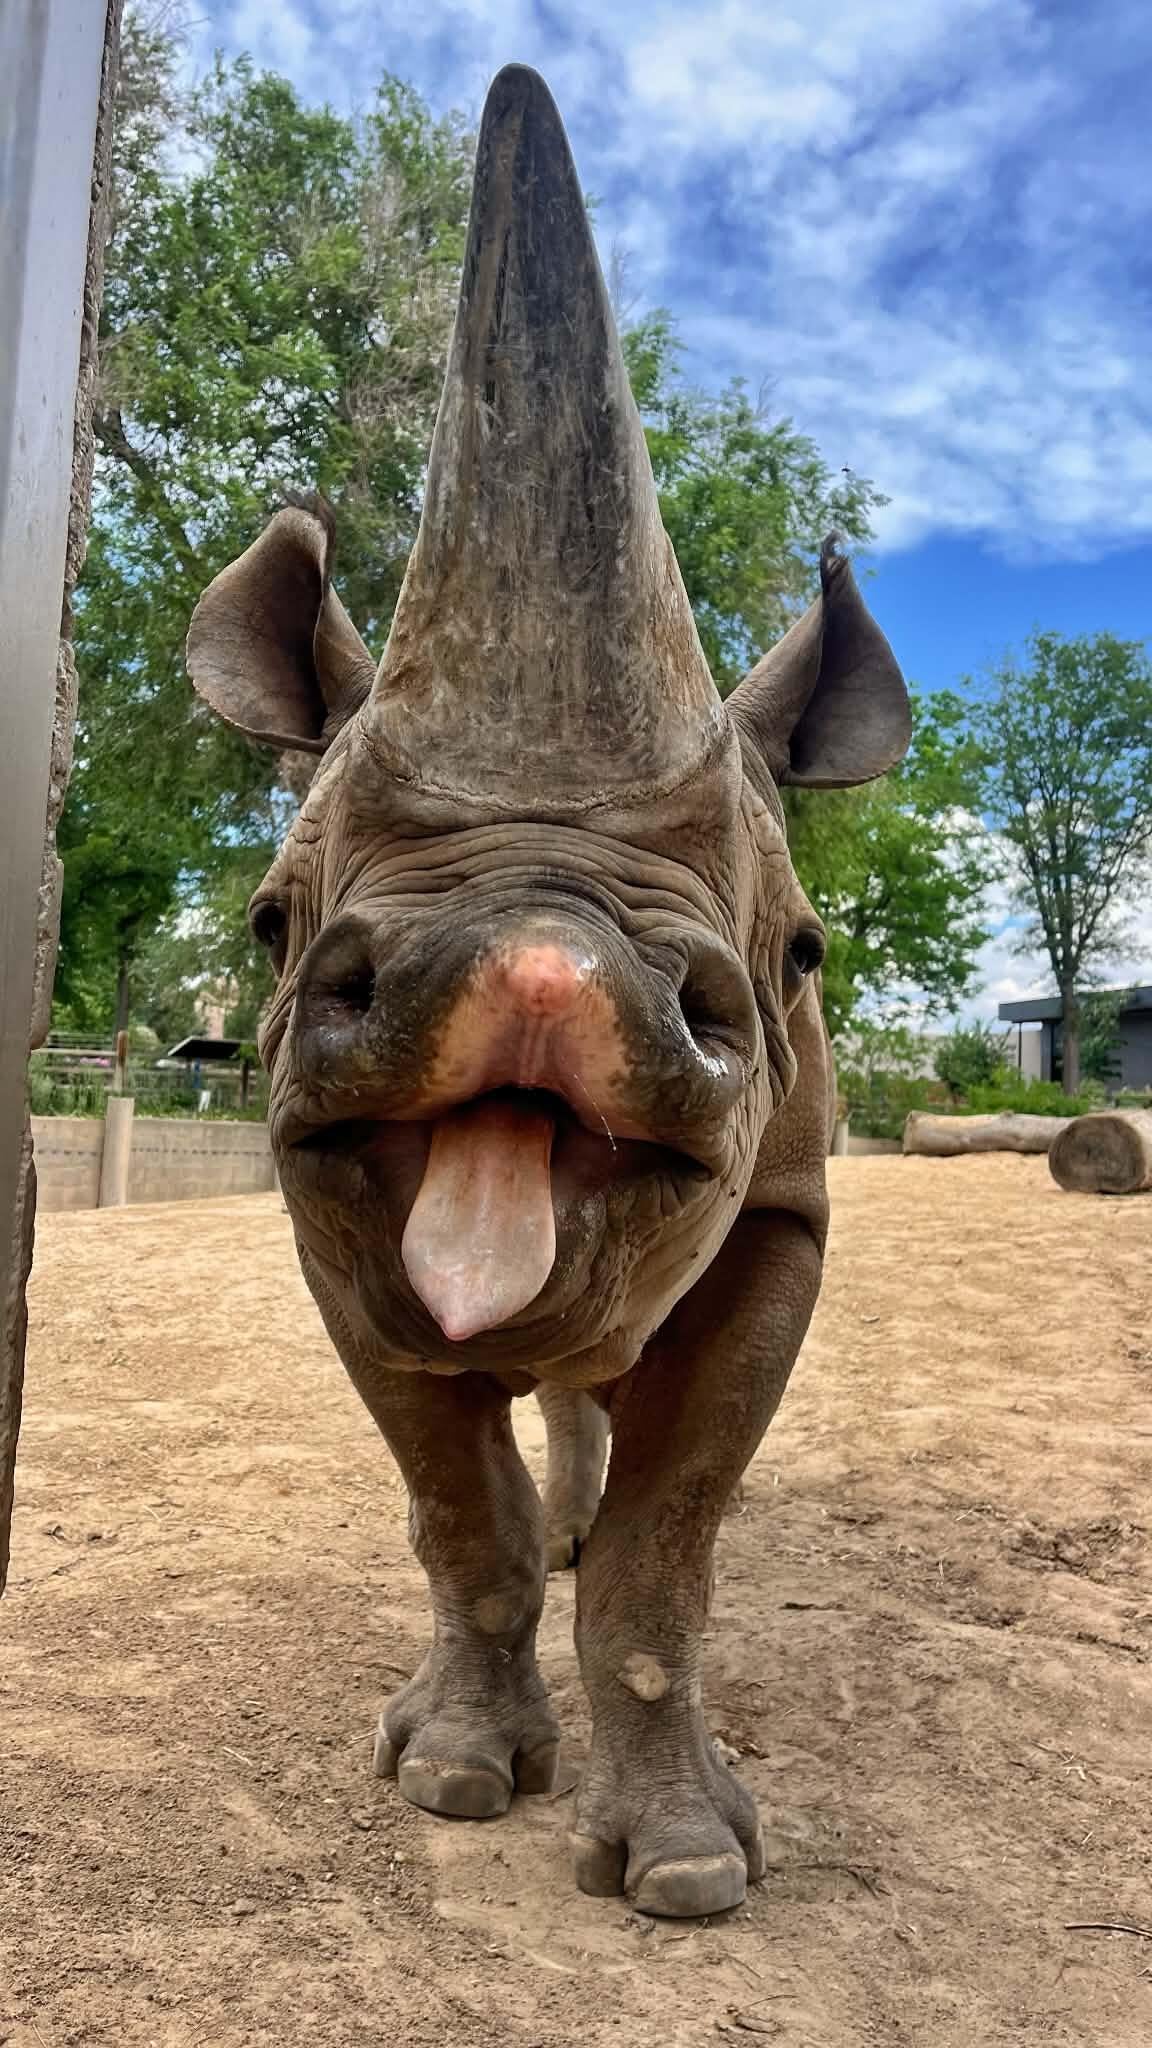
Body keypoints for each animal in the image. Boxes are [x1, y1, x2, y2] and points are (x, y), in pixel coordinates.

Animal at [186, 65, 909, 1919]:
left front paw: (686, 1871)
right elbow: (462, 1514)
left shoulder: (784, 1208)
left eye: (801, 958)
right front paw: (450, 1773)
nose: (535, 974)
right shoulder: (332, 1228)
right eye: (272, 922)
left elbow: (666, 1552)